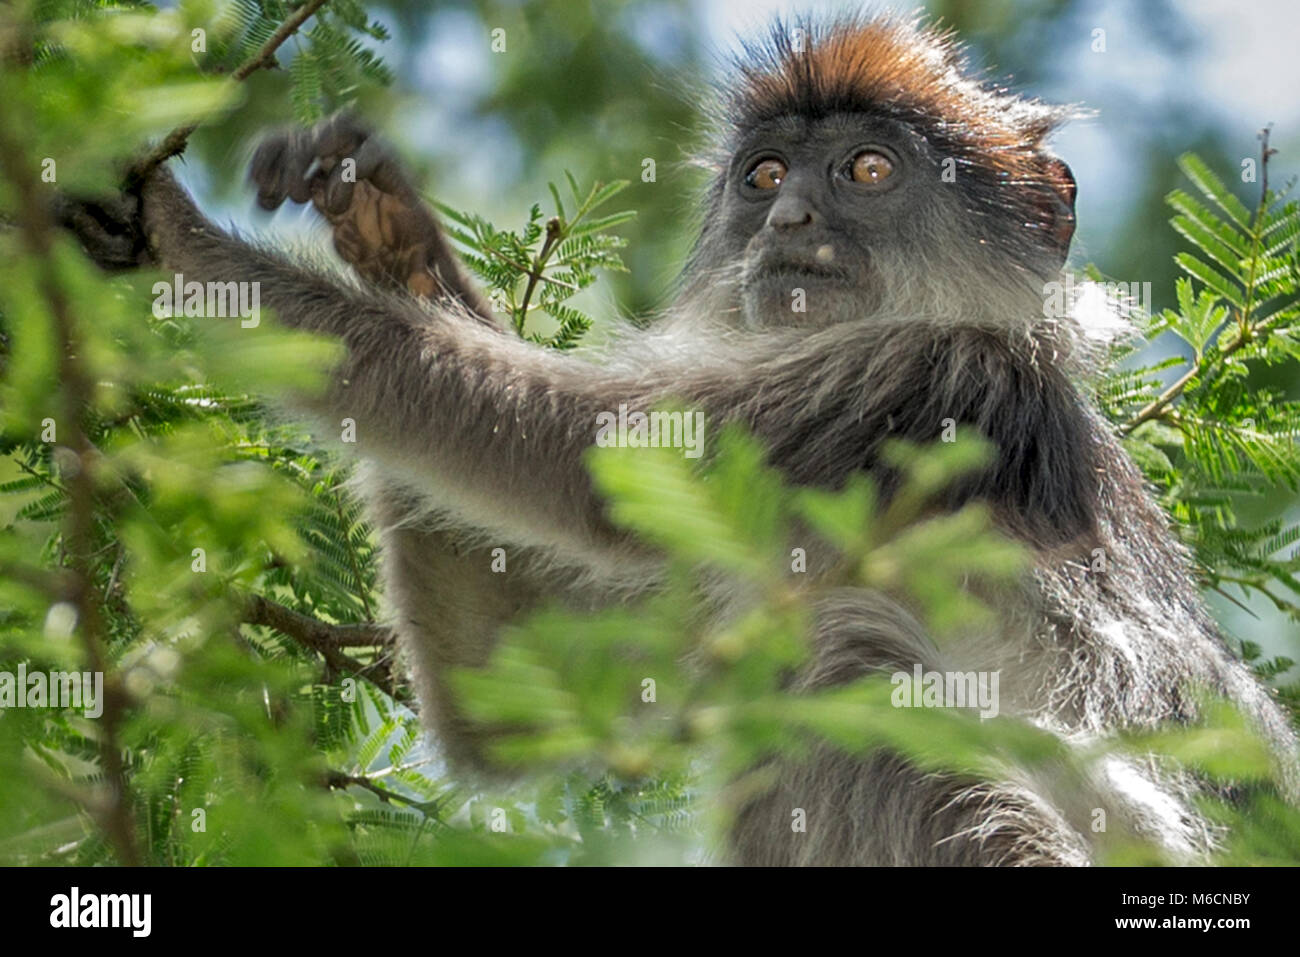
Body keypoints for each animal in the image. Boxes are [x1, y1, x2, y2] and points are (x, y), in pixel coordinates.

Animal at [59, 14, 1299, 865]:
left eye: (866, 169)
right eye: (766, 176)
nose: (790, 217)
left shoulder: (910, 385)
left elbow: (578, 464)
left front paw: (185, 244)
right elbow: (501, 696)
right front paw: (390, 234)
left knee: (857, 665)